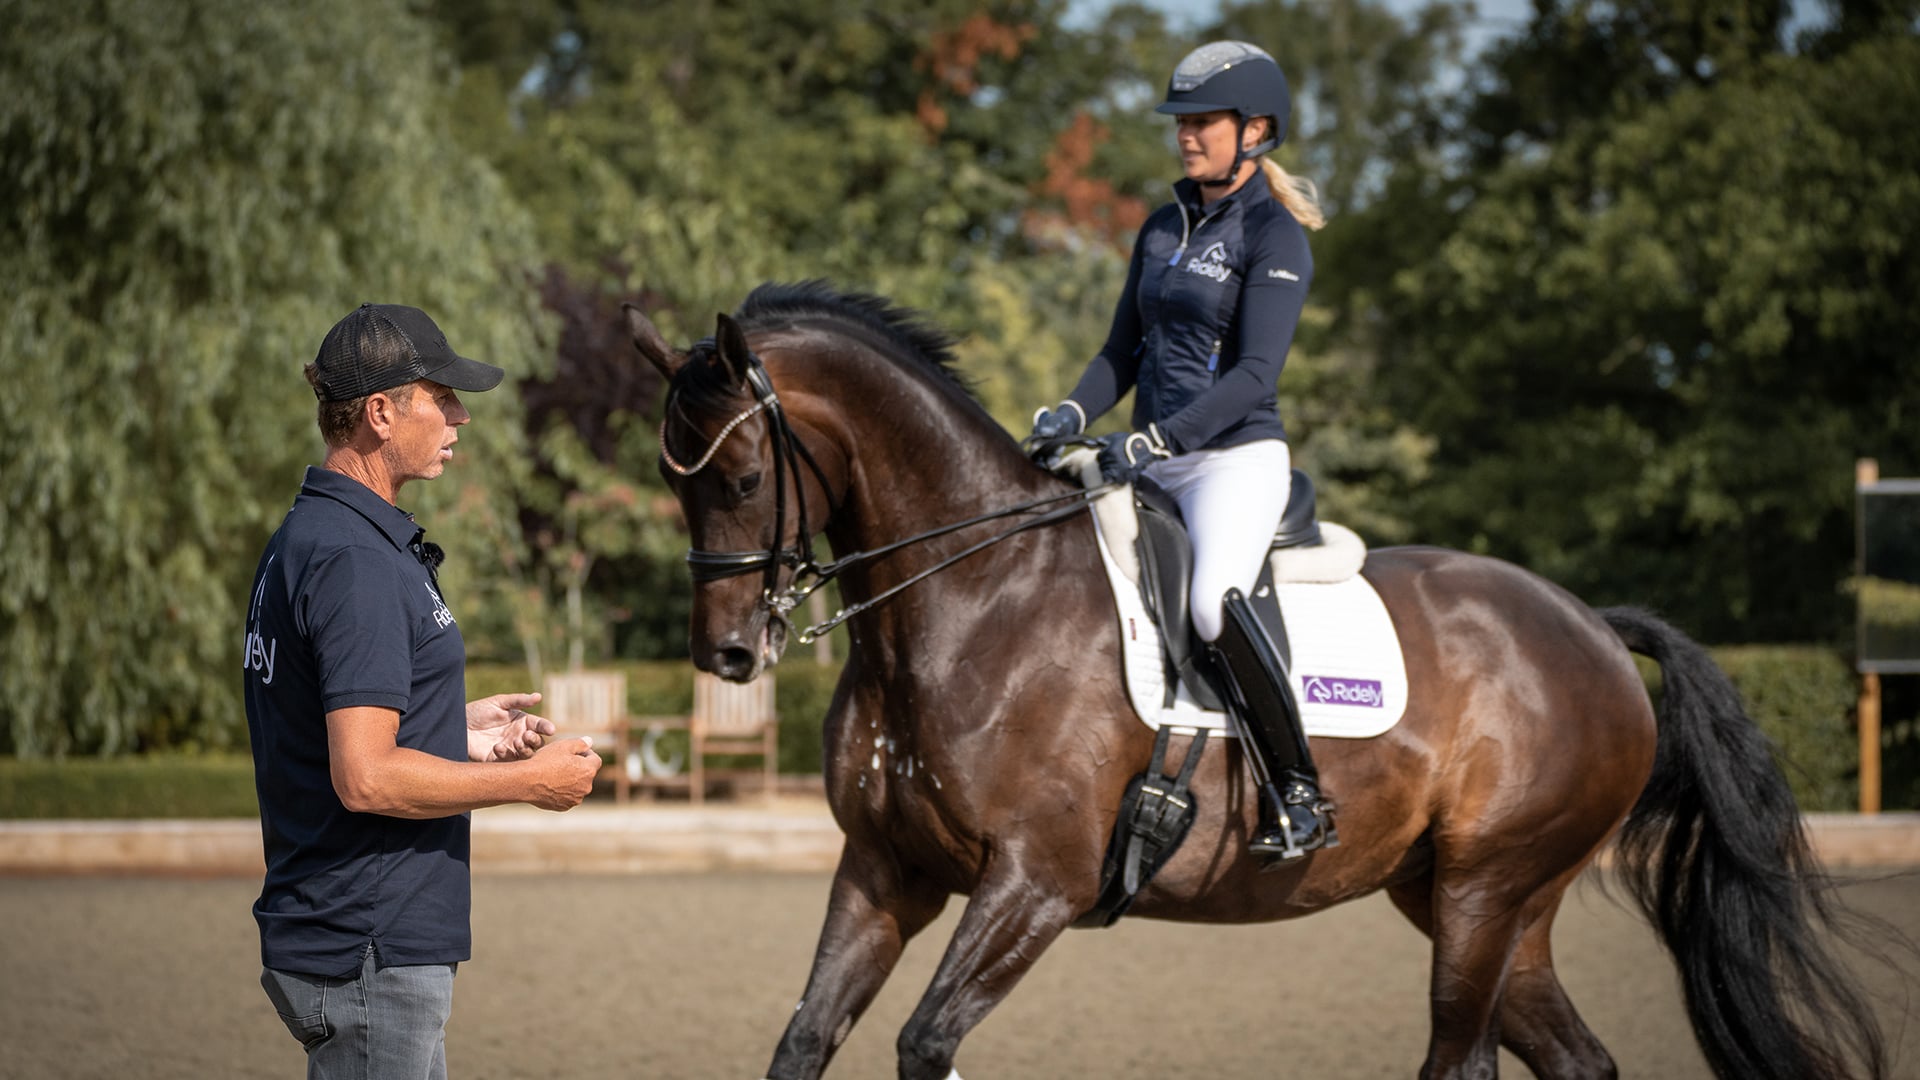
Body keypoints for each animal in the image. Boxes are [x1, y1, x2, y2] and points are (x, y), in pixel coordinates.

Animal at [624, 280, 1888, 1080]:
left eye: (741, 477)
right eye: (672, 480)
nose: (727, 657)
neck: (971, 598)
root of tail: (1589, 623)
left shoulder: (1034, 882)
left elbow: (925, 1043)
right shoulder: (886, 871)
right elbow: (804, 1040)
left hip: (1487, 893)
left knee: (1459, 1059)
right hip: (1477, 900)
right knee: (1574, 1058)